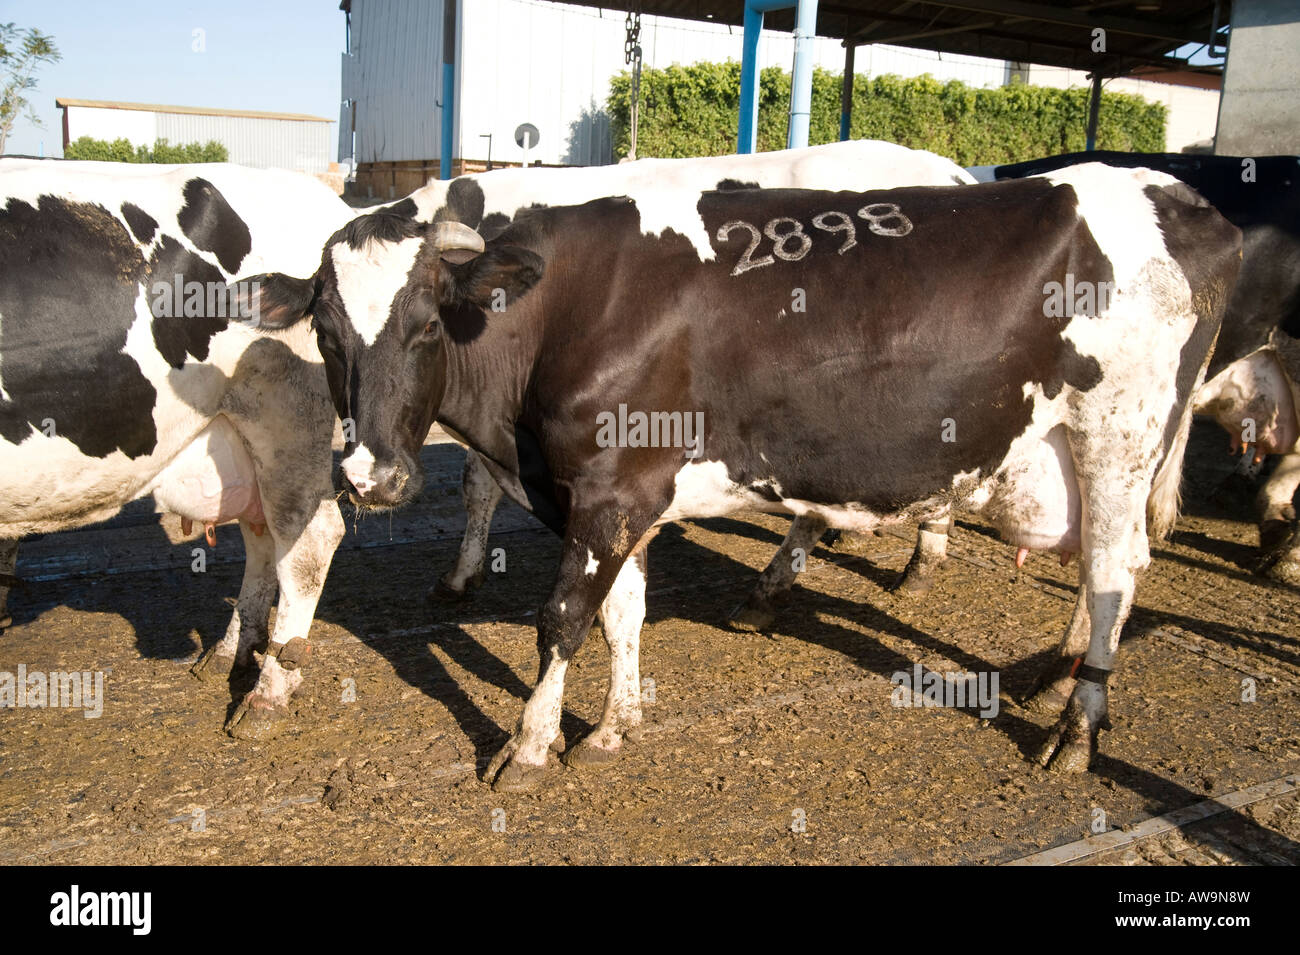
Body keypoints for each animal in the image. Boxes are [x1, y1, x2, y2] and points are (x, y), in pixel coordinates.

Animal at [0, 159, 350, 739]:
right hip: (237, 435)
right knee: (261, 536)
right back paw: (232, 650)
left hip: (286, 420)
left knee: (307, 542)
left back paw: (268, 695)